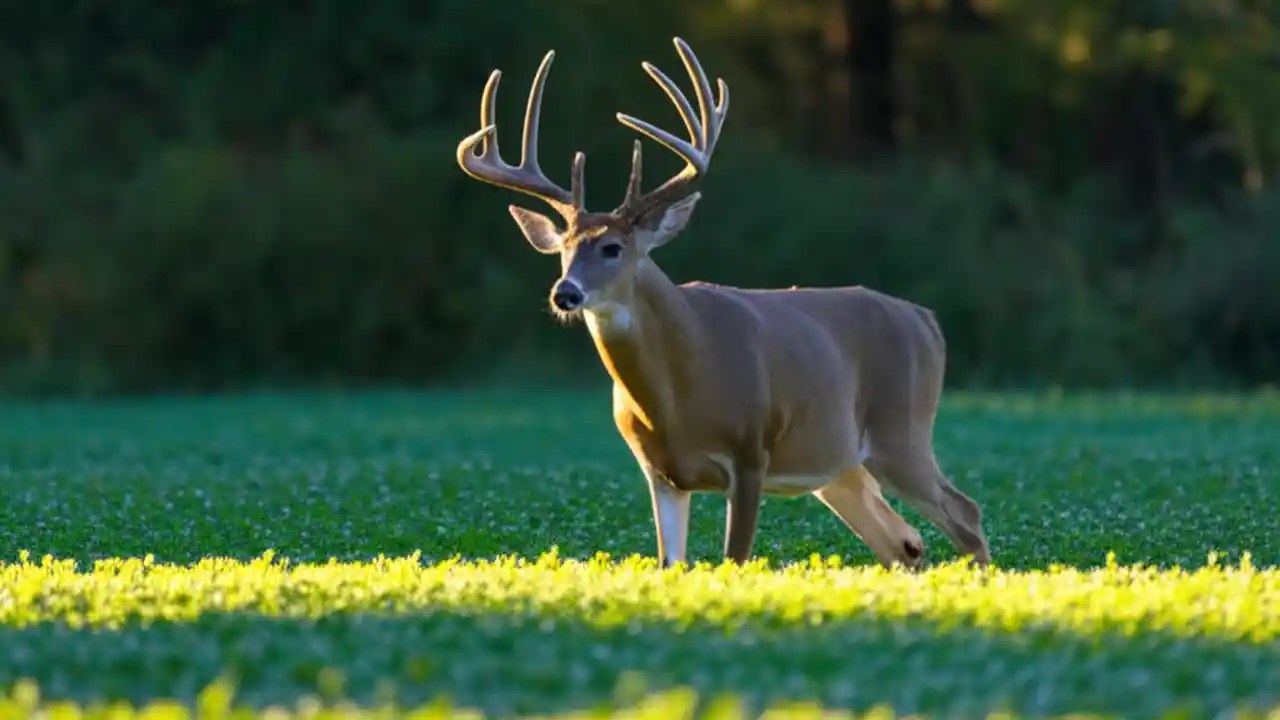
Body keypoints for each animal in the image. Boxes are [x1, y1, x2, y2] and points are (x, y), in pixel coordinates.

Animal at [455, 37, 992, 570]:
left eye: (612, 247)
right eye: (563, 248)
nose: (565, 293)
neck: (676, 399)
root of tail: (926, 319)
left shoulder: (751, 451)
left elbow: (736, 558)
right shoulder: (659, 473)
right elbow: (671, 563)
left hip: (901, 428)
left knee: (964, 512)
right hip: (840, 468)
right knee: (905, 542)